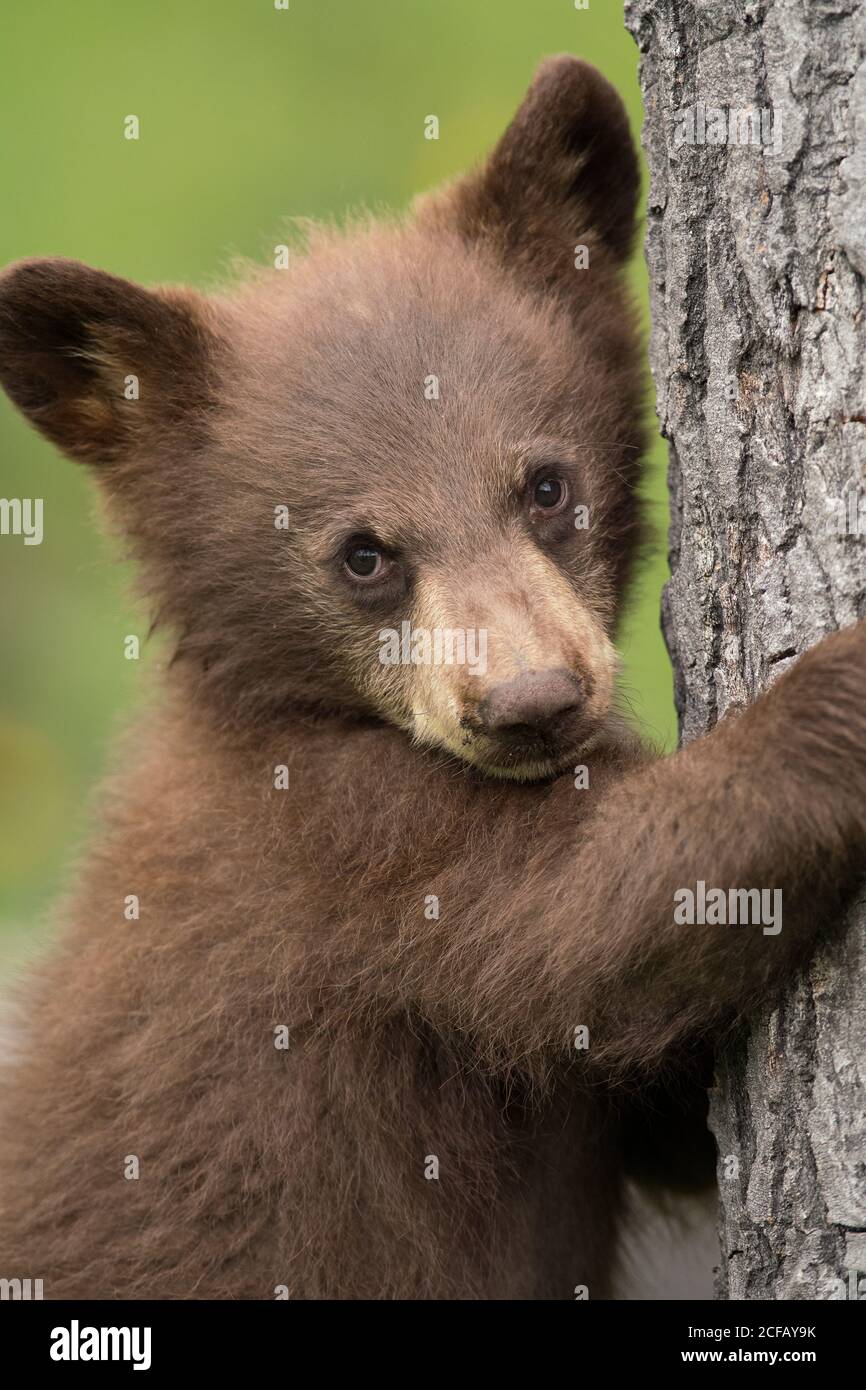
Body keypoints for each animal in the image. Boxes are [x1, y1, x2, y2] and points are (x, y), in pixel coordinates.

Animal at [0, 54, 863, 1301]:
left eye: (545, 484)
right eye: (362, 554)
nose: (530, 702)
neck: (300, 712)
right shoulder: (341, 851)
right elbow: (590, 921)